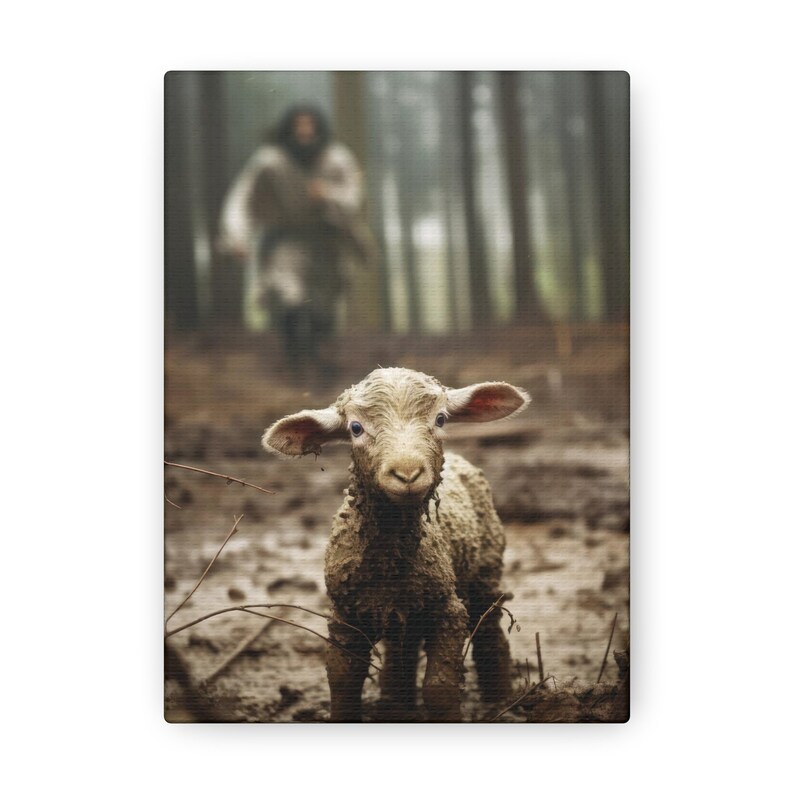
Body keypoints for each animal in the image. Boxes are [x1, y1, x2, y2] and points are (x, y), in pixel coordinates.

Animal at [262, 367, 530, 721]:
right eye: (356, 428)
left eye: (441, 419)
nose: (407, 473)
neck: (390, 560)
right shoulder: (345, 616)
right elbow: (342, 680)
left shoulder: (447, 609)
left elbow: (440, 689)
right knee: (403, 646)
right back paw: (395, 703)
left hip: (485, 567)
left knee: (488, 629)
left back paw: (499, 701)